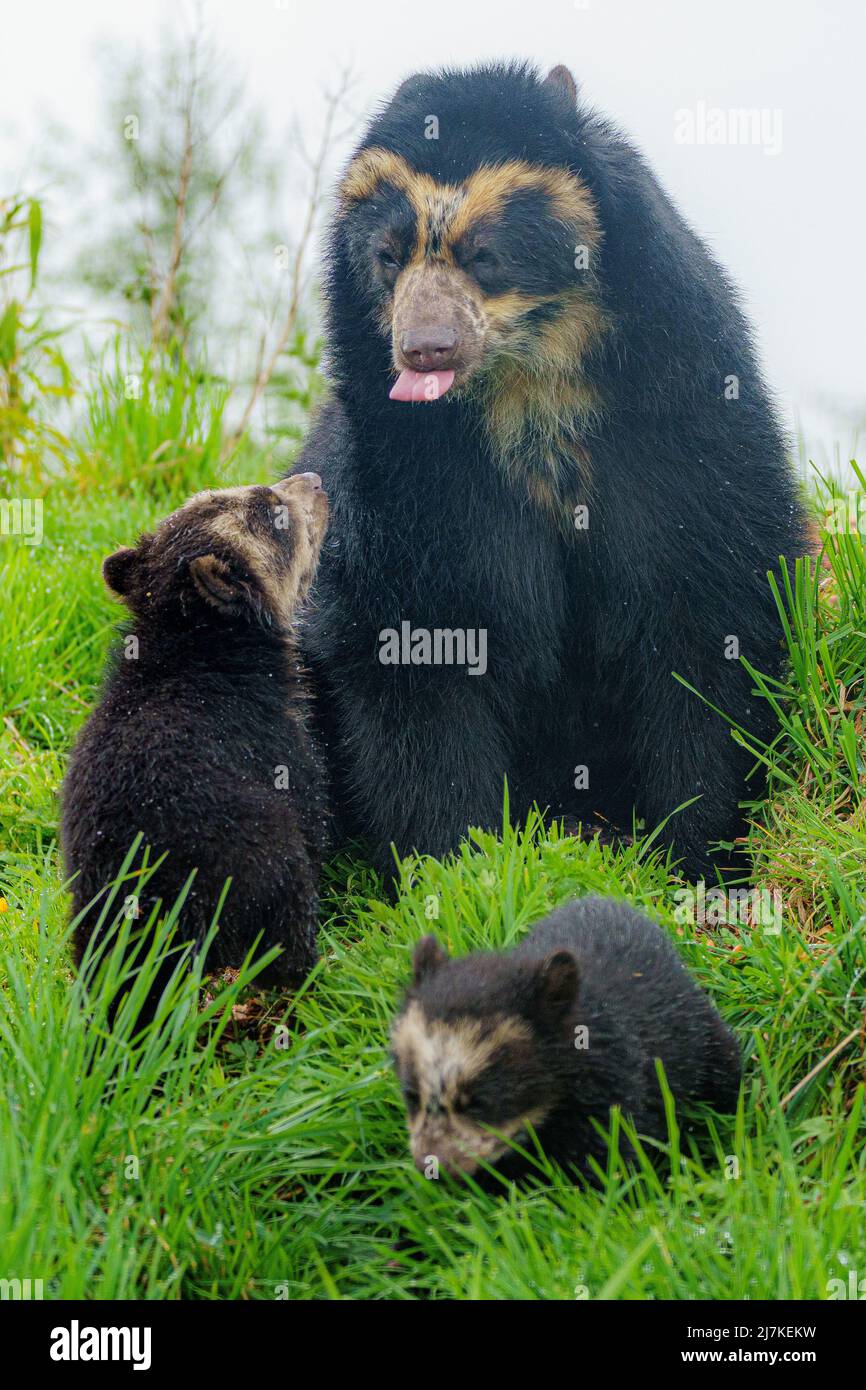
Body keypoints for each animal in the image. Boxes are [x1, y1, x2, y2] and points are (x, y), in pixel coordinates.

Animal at [60, 474, 330, 1021]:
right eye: (272, 511)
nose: (314, 480)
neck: (195, 650)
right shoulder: (278, 742)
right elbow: (314, 815)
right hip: (253, 855)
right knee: (287, 919)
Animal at [295, 60, 808, 881]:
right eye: (387, 257)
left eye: (486, 255)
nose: (424, 349)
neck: (528, 391)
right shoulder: (400, 478)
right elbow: (415, 643)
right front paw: (460, 863)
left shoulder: (685, 431)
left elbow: (708, 622)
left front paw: (698, 855)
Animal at [391, 895, 742, 1183]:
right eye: (411, 1095)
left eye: (482, 1102)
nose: (431, 1167)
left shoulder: (610, 1084)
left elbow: (607, 1158)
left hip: (697, 1030)